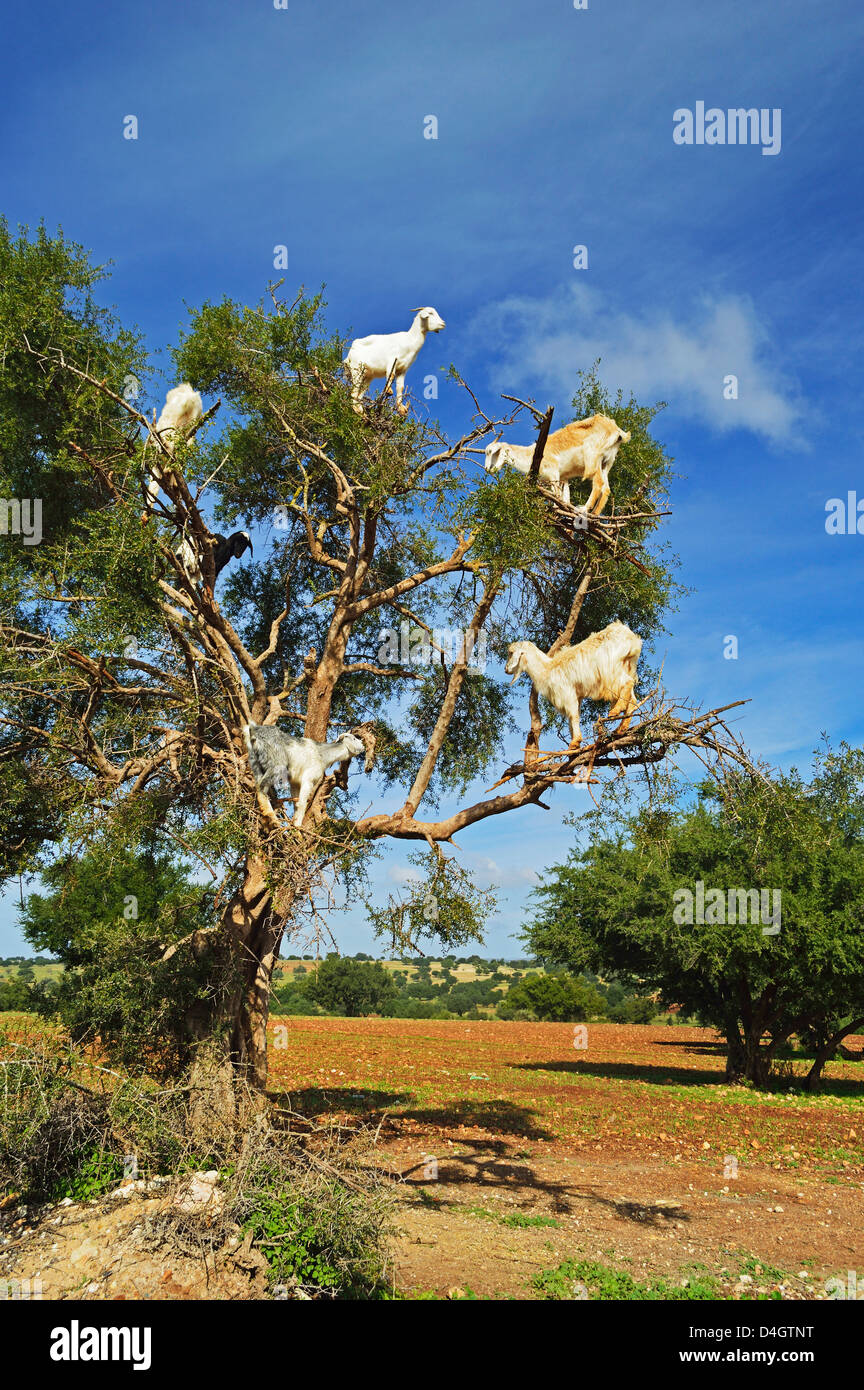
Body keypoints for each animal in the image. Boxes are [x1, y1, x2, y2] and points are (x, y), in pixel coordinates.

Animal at [485, 414, 631, 514]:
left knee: (598, 483)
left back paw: (583, 510)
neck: (532, 453)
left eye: (490, 451)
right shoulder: (563, 478)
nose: (487, 469)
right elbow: (565, 498)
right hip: (606, 463)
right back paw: (594, 515)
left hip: (592, 458)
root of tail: (617, 431)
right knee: (606, 488)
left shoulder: (553, 473)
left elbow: (557, 496)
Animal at [505, 621, 642, 749]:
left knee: (627, 682)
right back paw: (621, 728)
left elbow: (573, 715)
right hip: (626, 666)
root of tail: (632, 639)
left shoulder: (567, 692)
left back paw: (616, 710)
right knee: (632, 700)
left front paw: (575, 743)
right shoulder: (577, 695)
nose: (506, 670)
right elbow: (574, 717)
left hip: (610, 670)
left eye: (511, 653)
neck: (547, 669)